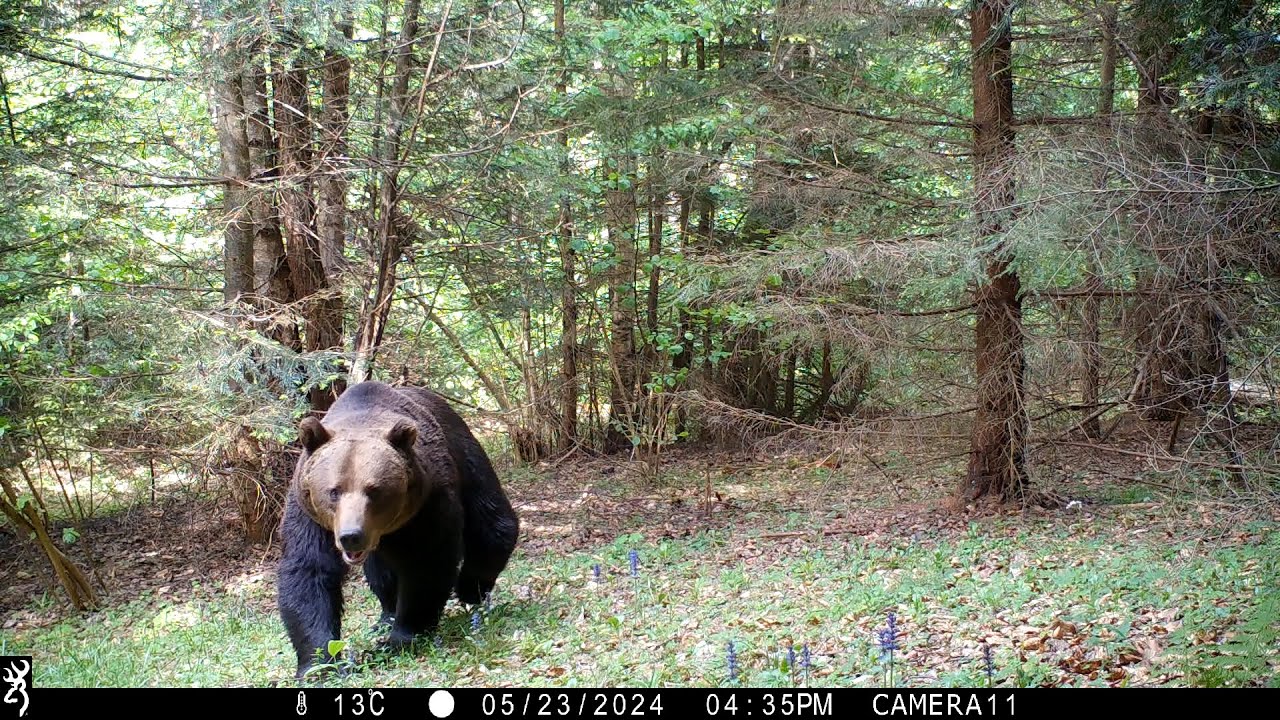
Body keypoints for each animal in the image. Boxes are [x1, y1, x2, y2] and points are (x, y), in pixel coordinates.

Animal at [275, 380, 520, 678]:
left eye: (373, 490)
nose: (350, 537)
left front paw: (401, 638)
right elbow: (309, 571)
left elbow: (426, 563)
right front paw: (319, 665)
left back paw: (471, 593)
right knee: (381, 574)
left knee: (491, 525)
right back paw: (385, 616)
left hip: (464, 451)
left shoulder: (428, 501)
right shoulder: (309, 514)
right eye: (334, 491)